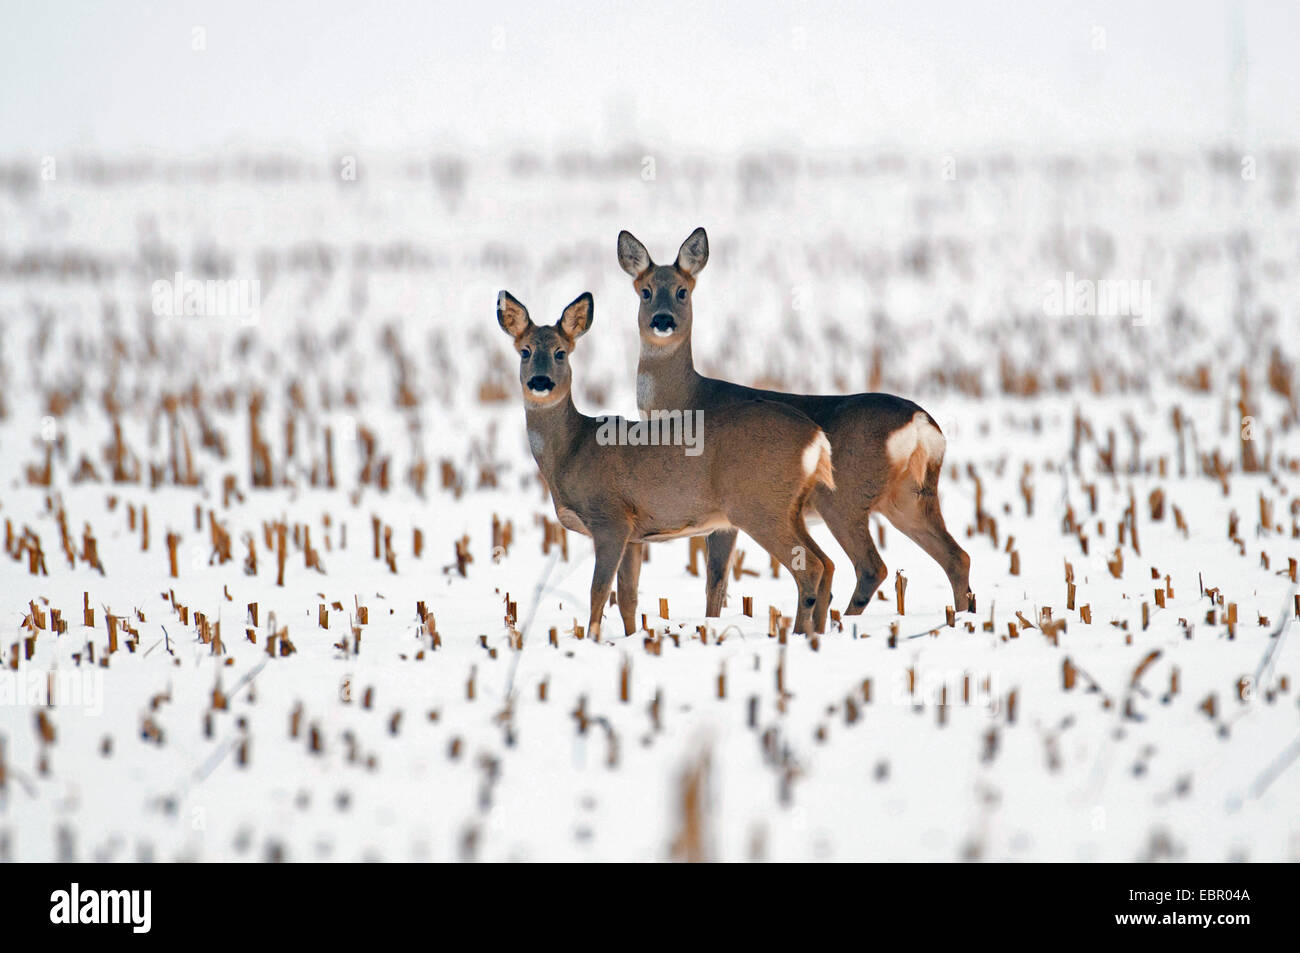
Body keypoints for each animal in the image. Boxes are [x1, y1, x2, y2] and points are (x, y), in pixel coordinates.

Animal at [496, 289, 835, 639]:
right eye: (525, 351)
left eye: (560, 353)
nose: (540, 382)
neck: (572, 451)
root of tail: (815, 436)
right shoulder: (634, 534)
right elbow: (628, 597)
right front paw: (631, 638)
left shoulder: (610, 520)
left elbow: (599, 591)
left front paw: (591, 639)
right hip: (789, 507)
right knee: (827, 563)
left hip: (758, 505)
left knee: (810, 566)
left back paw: (797, 634)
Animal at [617, 227, 972, 631]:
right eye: (645, 291)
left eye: (682, 291)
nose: (663, 320)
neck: (688, 398)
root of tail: (921, 424)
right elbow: (718, 582)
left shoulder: (723, 513)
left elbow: (715, 580)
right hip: (909, 497)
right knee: (956, 557)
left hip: (844, 498)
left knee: (871, 566)